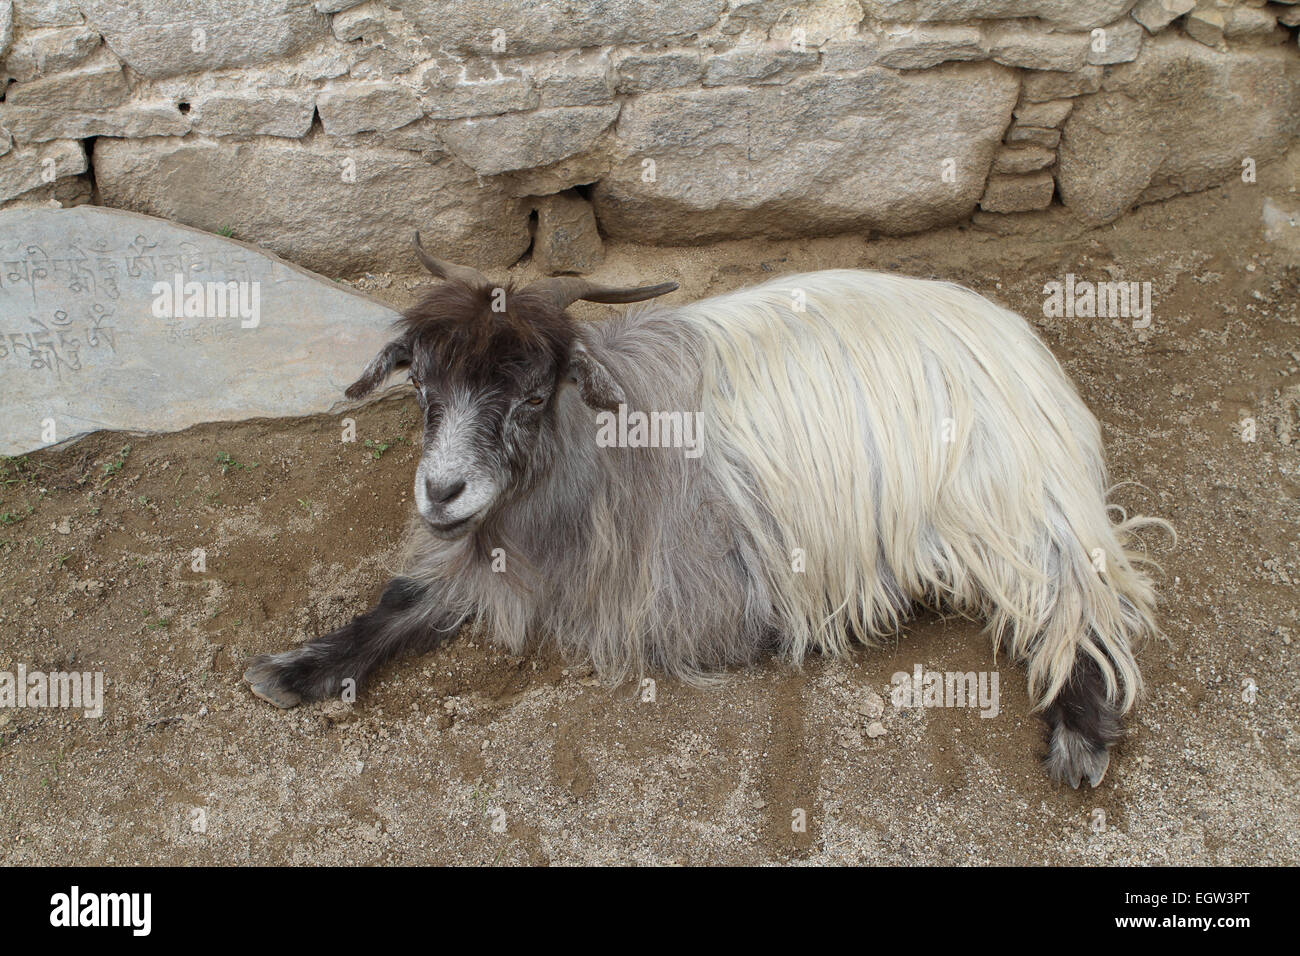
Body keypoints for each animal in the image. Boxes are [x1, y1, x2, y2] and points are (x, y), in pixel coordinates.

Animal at [245, 234, 1169, 788]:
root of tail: (1018, 342)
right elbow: (405, 599)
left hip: (1017, 511)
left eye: (535, 393)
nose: (441, 492)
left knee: (1076, 604)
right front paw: (299, 667)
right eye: (422, 386)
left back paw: (1081, 734)